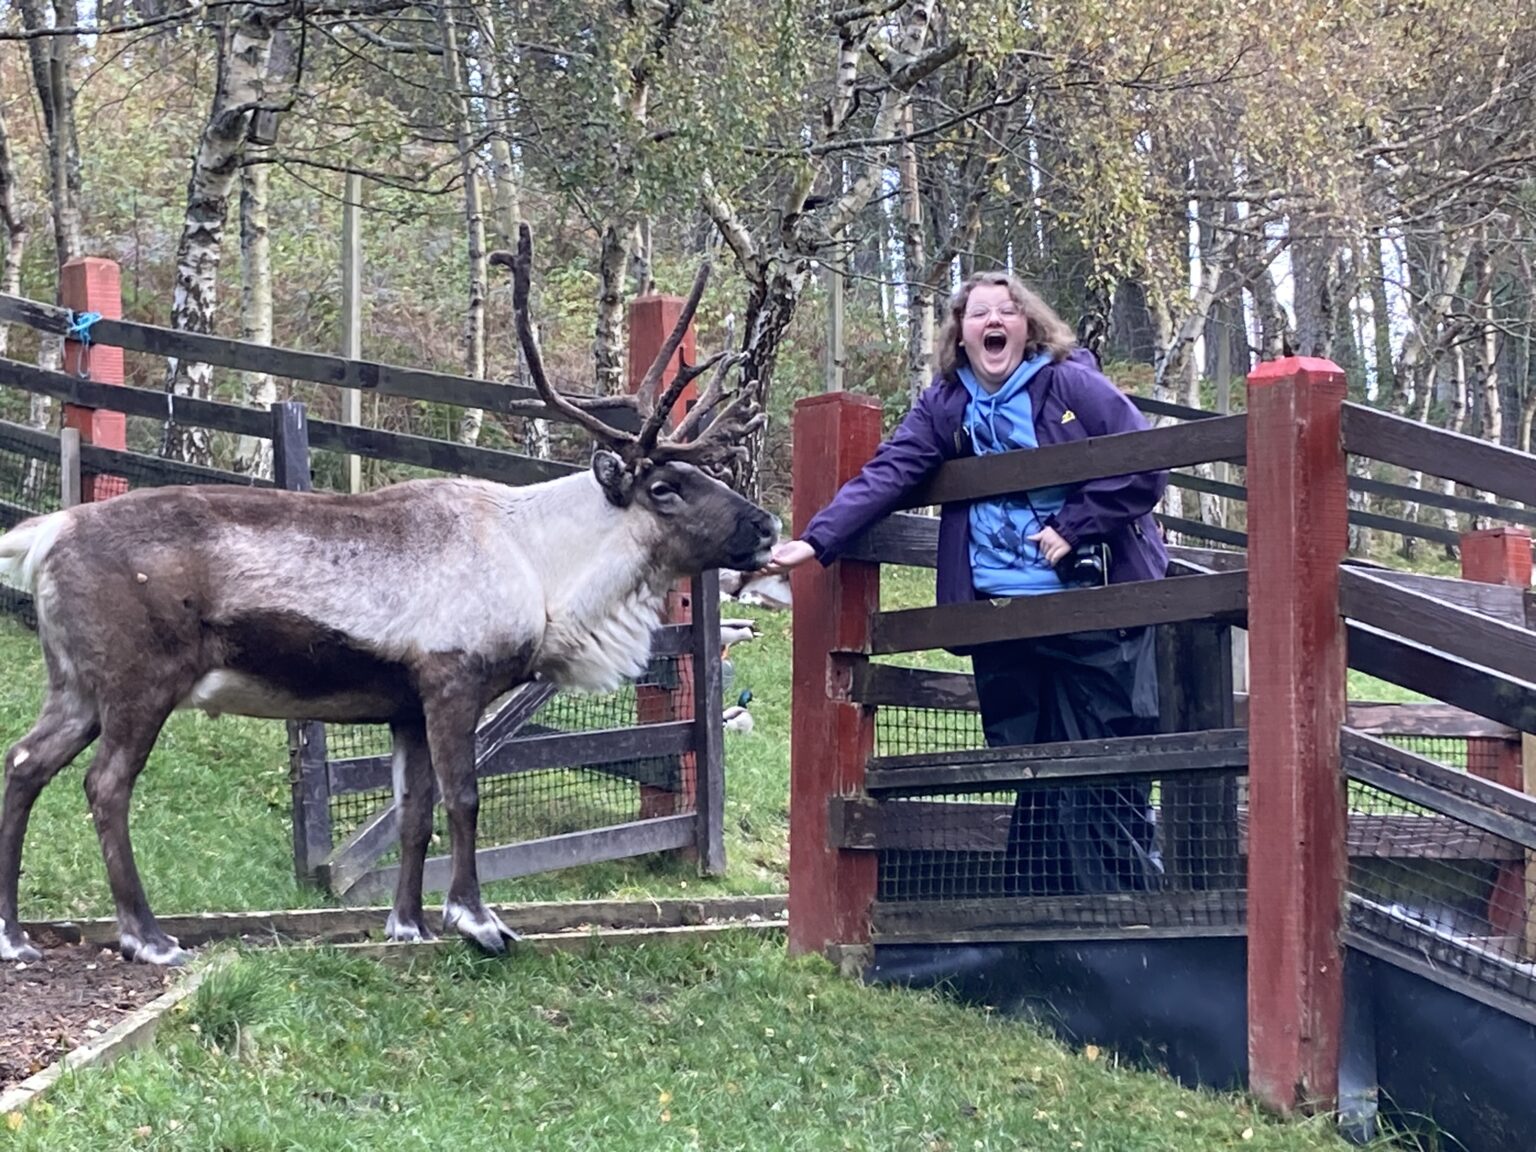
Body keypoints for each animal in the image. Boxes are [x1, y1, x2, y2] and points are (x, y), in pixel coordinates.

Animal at [0, 225, 779, 966]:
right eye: (665, 487)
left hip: (75, 684)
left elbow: (414, 814)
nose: (767, 525)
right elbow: (465, 800)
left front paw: (407, 925)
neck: (541, 566)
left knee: (24, 762)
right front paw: (477, 920)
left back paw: (15, 937)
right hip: (141, 682)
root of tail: (49, 531)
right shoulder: (452, 682)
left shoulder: (404, 706)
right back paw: (148, 936)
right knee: (105, 785)